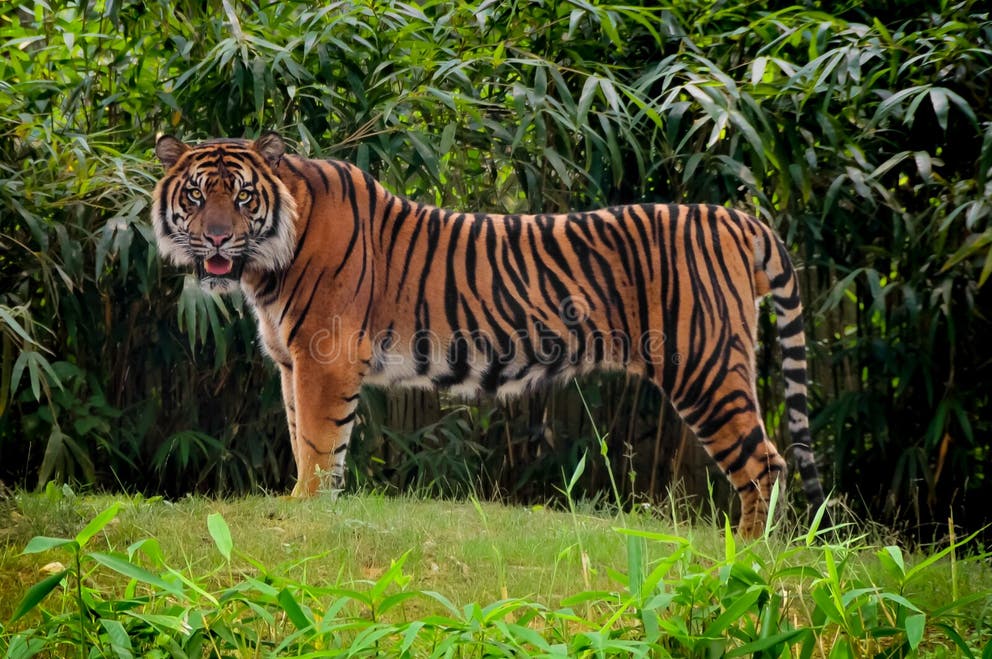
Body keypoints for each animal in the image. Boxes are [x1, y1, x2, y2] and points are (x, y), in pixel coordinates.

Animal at [151, 132, 826, 537]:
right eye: (197, 196)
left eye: (242, 197)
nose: (216, 238)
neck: (265, 265)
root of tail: (738, 218)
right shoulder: (292, 362)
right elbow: (302, 438)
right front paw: (309, 507)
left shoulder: (325, 357)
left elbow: (319, 444)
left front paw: (306, 511)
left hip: (704, 366)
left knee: (765, 465)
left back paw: (744, 555)